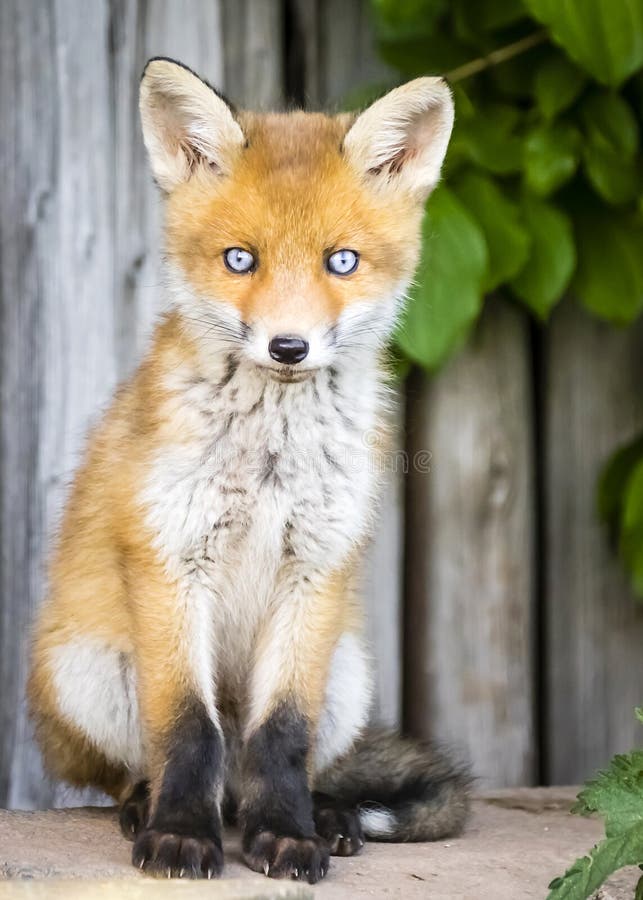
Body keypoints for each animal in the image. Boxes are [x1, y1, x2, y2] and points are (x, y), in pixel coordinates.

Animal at [27, 58, 469, 884]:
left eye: (340, 261)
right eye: (241, 259)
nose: (287, 347)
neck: (269, 461)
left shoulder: (315, 568)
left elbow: (282, 735)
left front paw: (288, 834)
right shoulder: (172, 559)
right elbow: (187, 728)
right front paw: (178, 835)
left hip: (347, 673)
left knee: (290, 765)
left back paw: (322, 816)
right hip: (86, 671)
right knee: (137, 772)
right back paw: (147, 806)